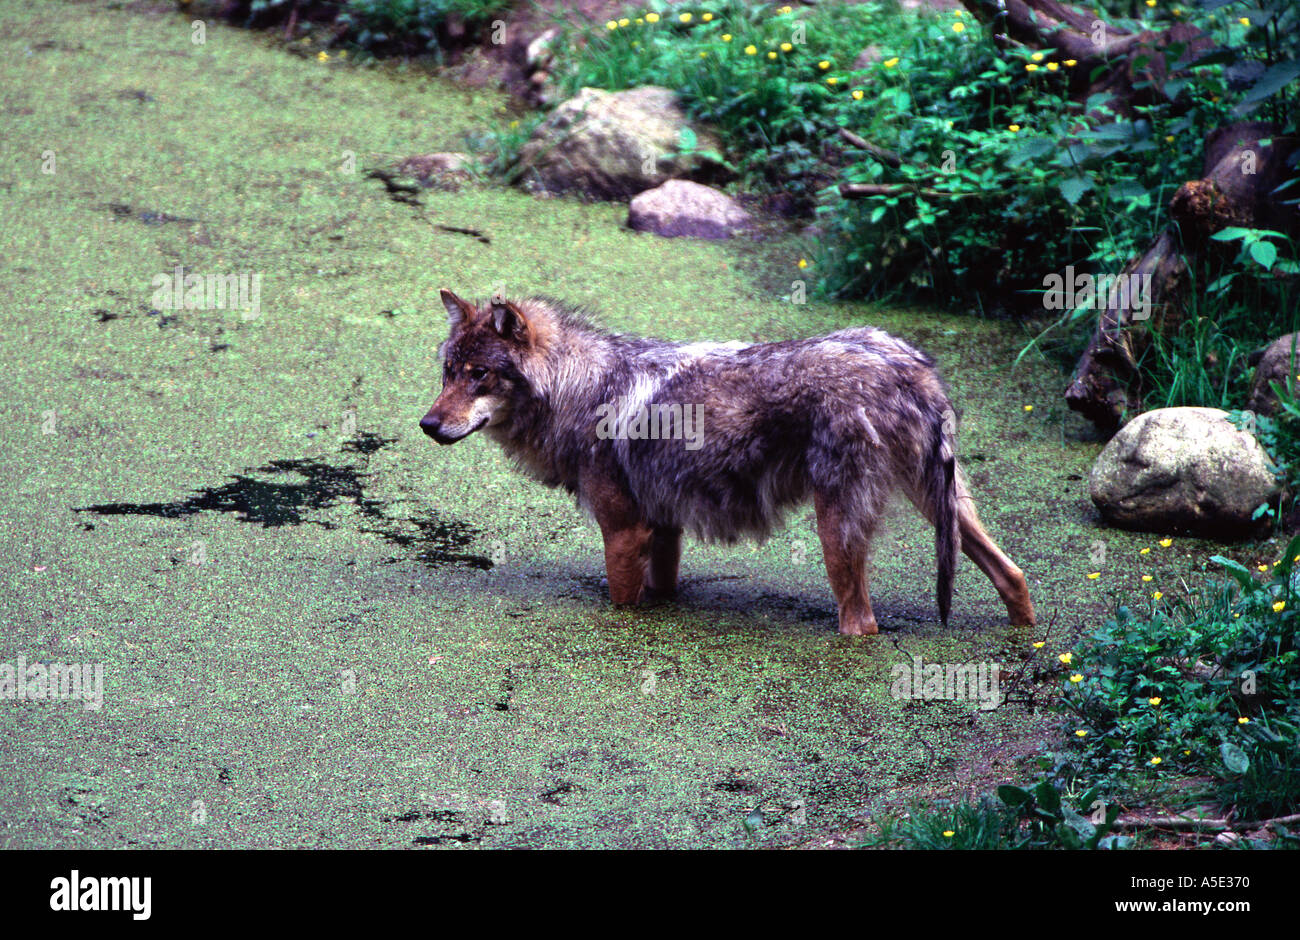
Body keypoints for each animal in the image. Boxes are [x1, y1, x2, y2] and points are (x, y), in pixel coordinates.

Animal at [420, 290, 1036, 635]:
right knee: (1015, 575)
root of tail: (907, 363)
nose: (427, 425)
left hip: (837, 532)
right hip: (945, 509)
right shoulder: (662, 528)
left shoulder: (623, 531)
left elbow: (622, 606)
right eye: (448, 372)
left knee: (862, 626)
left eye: (480, 375)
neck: (581, 388)